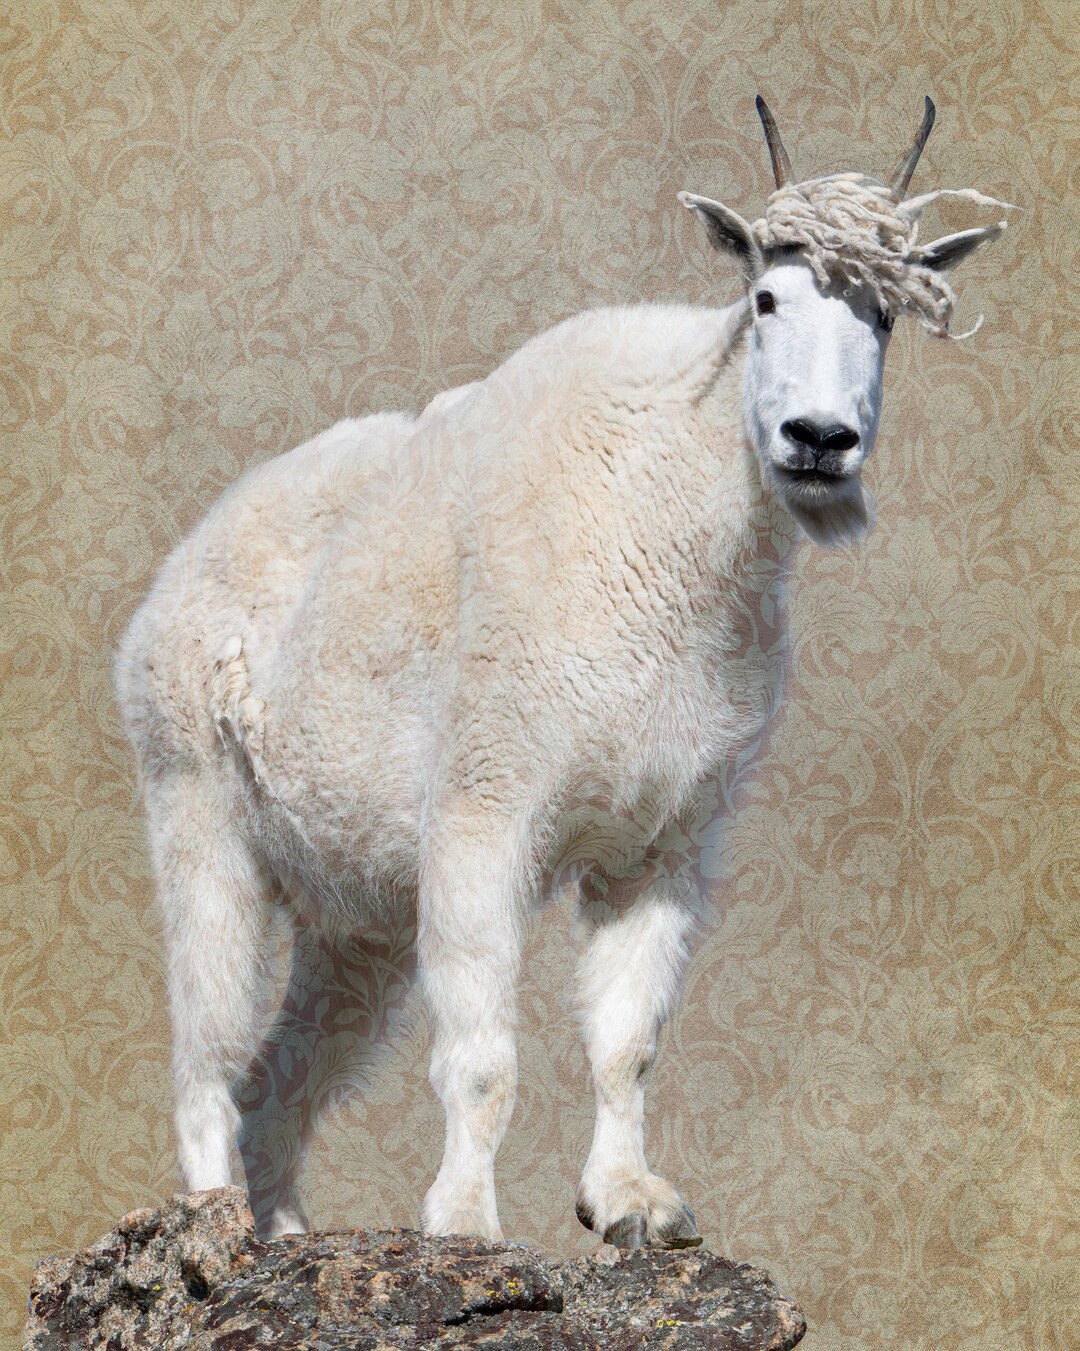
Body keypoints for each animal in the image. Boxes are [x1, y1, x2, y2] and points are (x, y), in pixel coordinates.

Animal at [116, 97, 1011, 1247]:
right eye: (765, 297)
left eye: (887, 317)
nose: (820, 439)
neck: (674, 517)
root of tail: (172, 582)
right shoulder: (483, 808)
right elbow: (481, 1056)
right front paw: (463, 1221)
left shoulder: (662, 837)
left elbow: (627, 1040)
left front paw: (631, 1202)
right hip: (198, 809)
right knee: (206, 1058)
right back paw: (216, 1231)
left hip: (354, 917)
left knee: (281, 1079)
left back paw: (288, 1235)